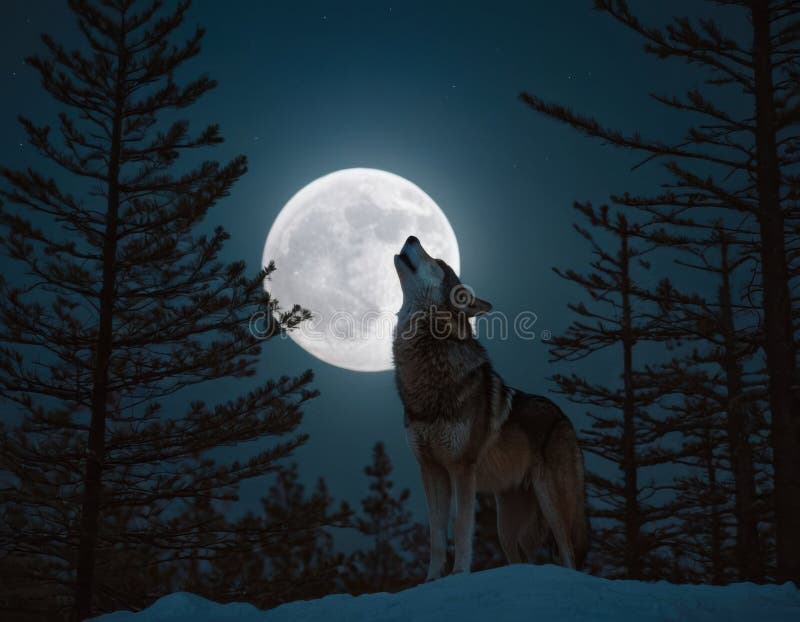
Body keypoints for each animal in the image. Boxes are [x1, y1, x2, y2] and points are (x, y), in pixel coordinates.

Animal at [392, 235, 588, 581]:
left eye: (439, 263)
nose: (412, 237)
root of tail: (563, 417)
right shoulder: (430, 469)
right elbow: (436, 536)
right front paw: (431, 580)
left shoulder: (462, 469)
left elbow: (460, 527)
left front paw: (459, 574)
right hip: (506, 526)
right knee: (523, 559)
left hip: (553, 503)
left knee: (568, 554)